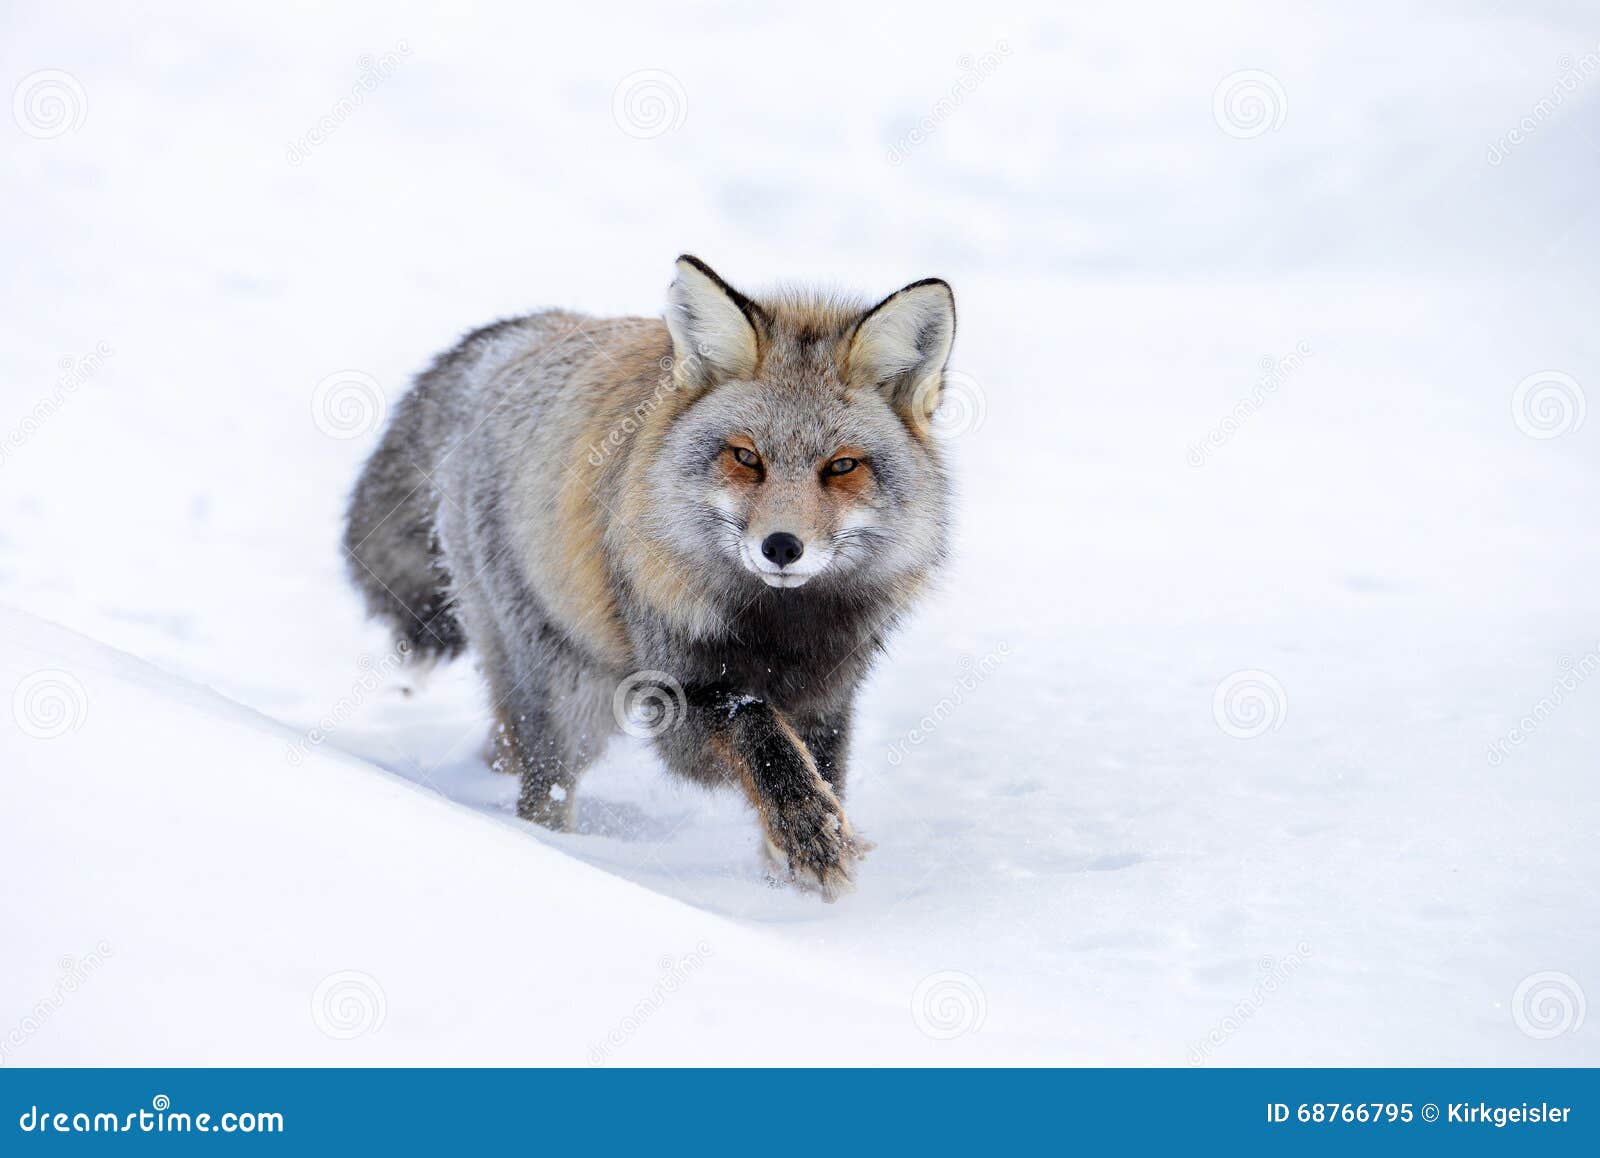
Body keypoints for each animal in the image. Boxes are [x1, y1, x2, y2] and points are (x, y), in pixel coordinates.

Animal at [343, 256, 955, 899]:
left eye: (841, 466)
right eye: (746, 457)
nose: (782, 547)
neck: (778, 633)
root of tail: (522, 337)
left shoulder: (829, 701)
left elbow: (814, 775)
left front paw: (797, 873)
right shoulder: (680, 698)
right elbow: (760, 733)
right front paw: (810, 833)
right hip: (567, 701)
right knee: (541, 789)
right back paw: (553, 851)